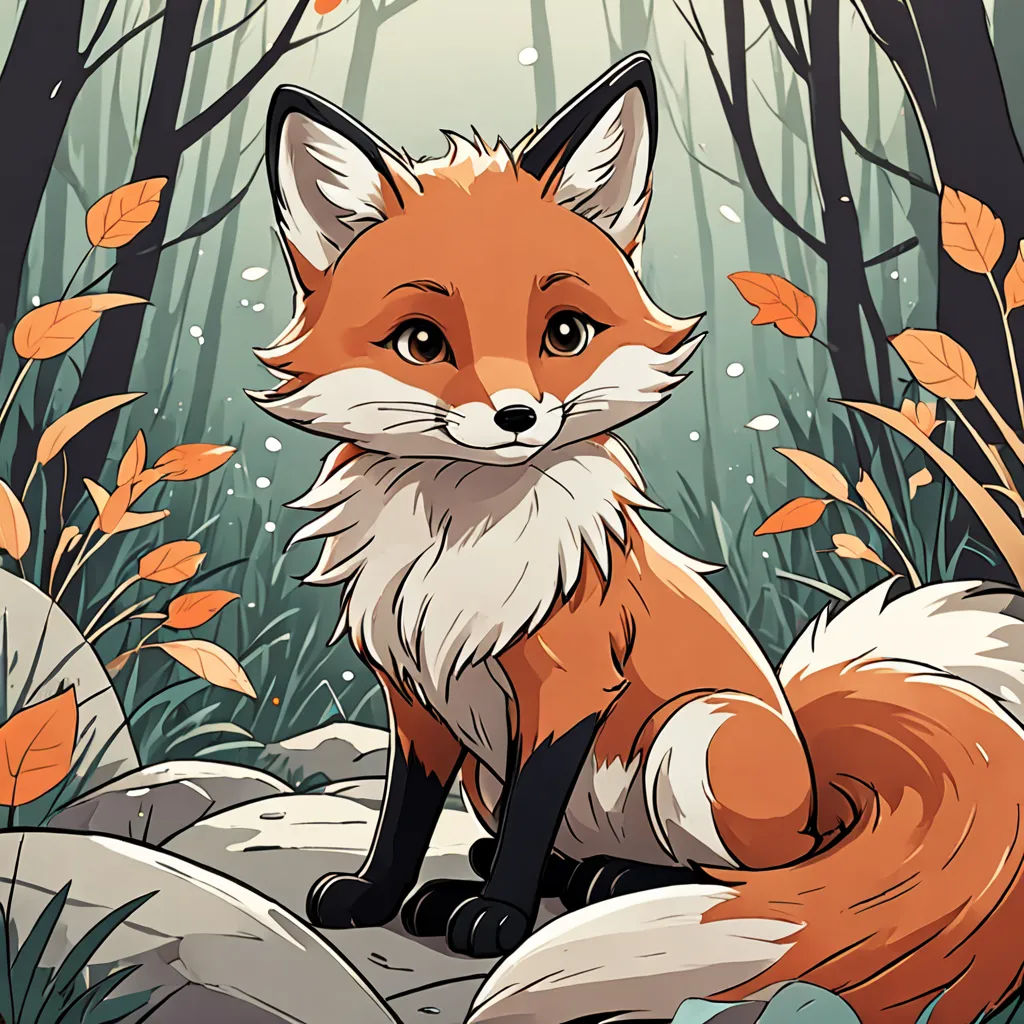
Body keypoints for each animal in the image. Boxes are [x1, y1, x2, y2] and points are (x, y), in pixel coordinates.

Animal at [249, 52, 1024, 1024]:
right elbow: (405, 817)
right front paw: (378, 895)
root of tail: (818, 786)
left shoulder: (571, 685)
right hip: (496, 773)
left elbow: (532, 817)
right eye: (421, 342)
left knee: (741, 875)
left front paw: (497, 919)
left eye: (565, 333)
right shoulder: (415, 694)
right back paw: (499, 878)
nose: (516, 417)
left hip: (693, 740)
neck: (465, 543)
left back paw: (606, 880)